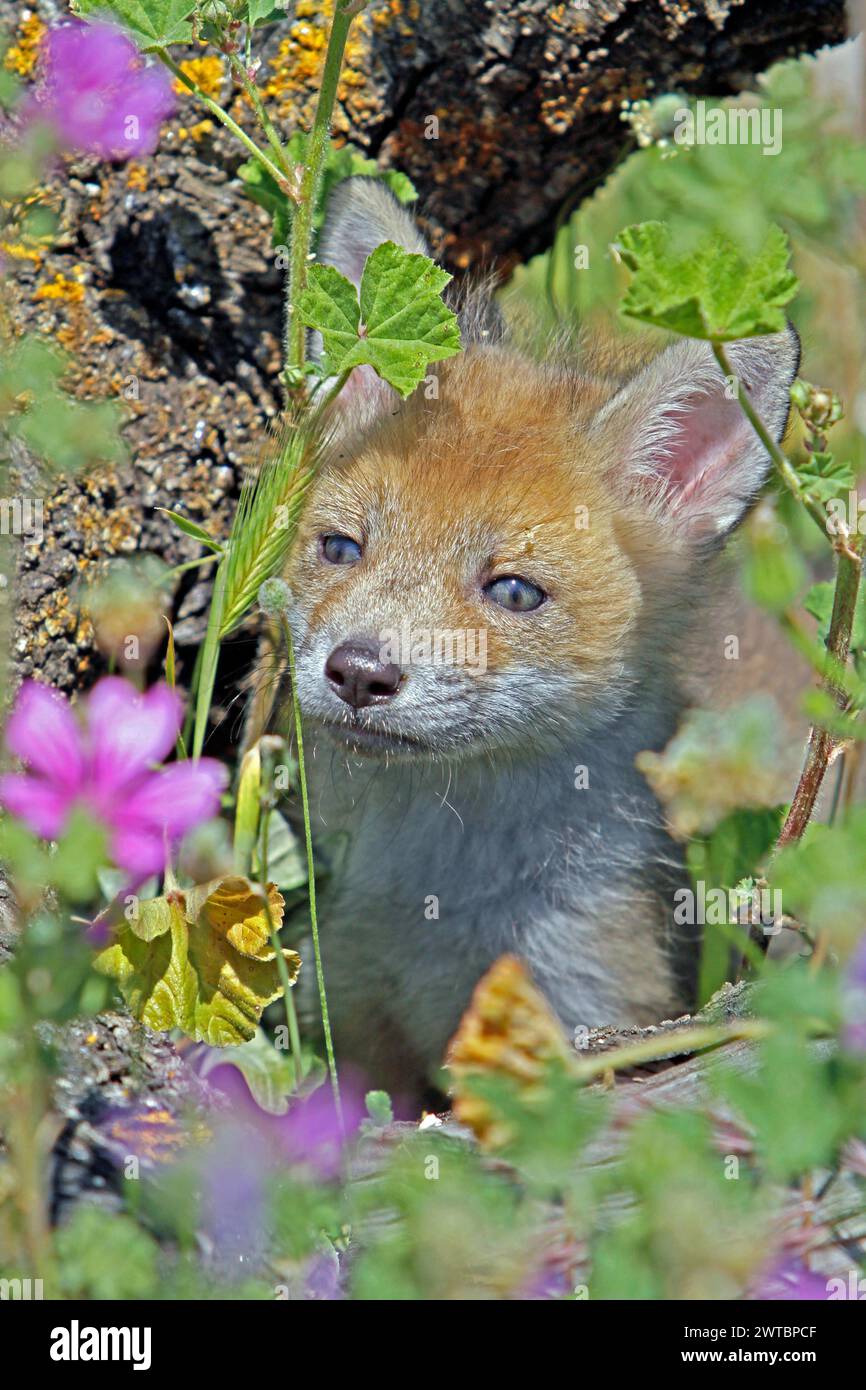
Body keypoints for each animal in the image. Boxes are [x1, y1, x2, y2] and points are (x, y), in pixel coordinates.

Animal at [272, 177, 801, 1098]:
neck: (437, 896)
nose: (361, 672)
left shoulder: (590, 1006)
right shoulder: (348, 1010)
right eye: (340, 548)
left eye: (514, 591)